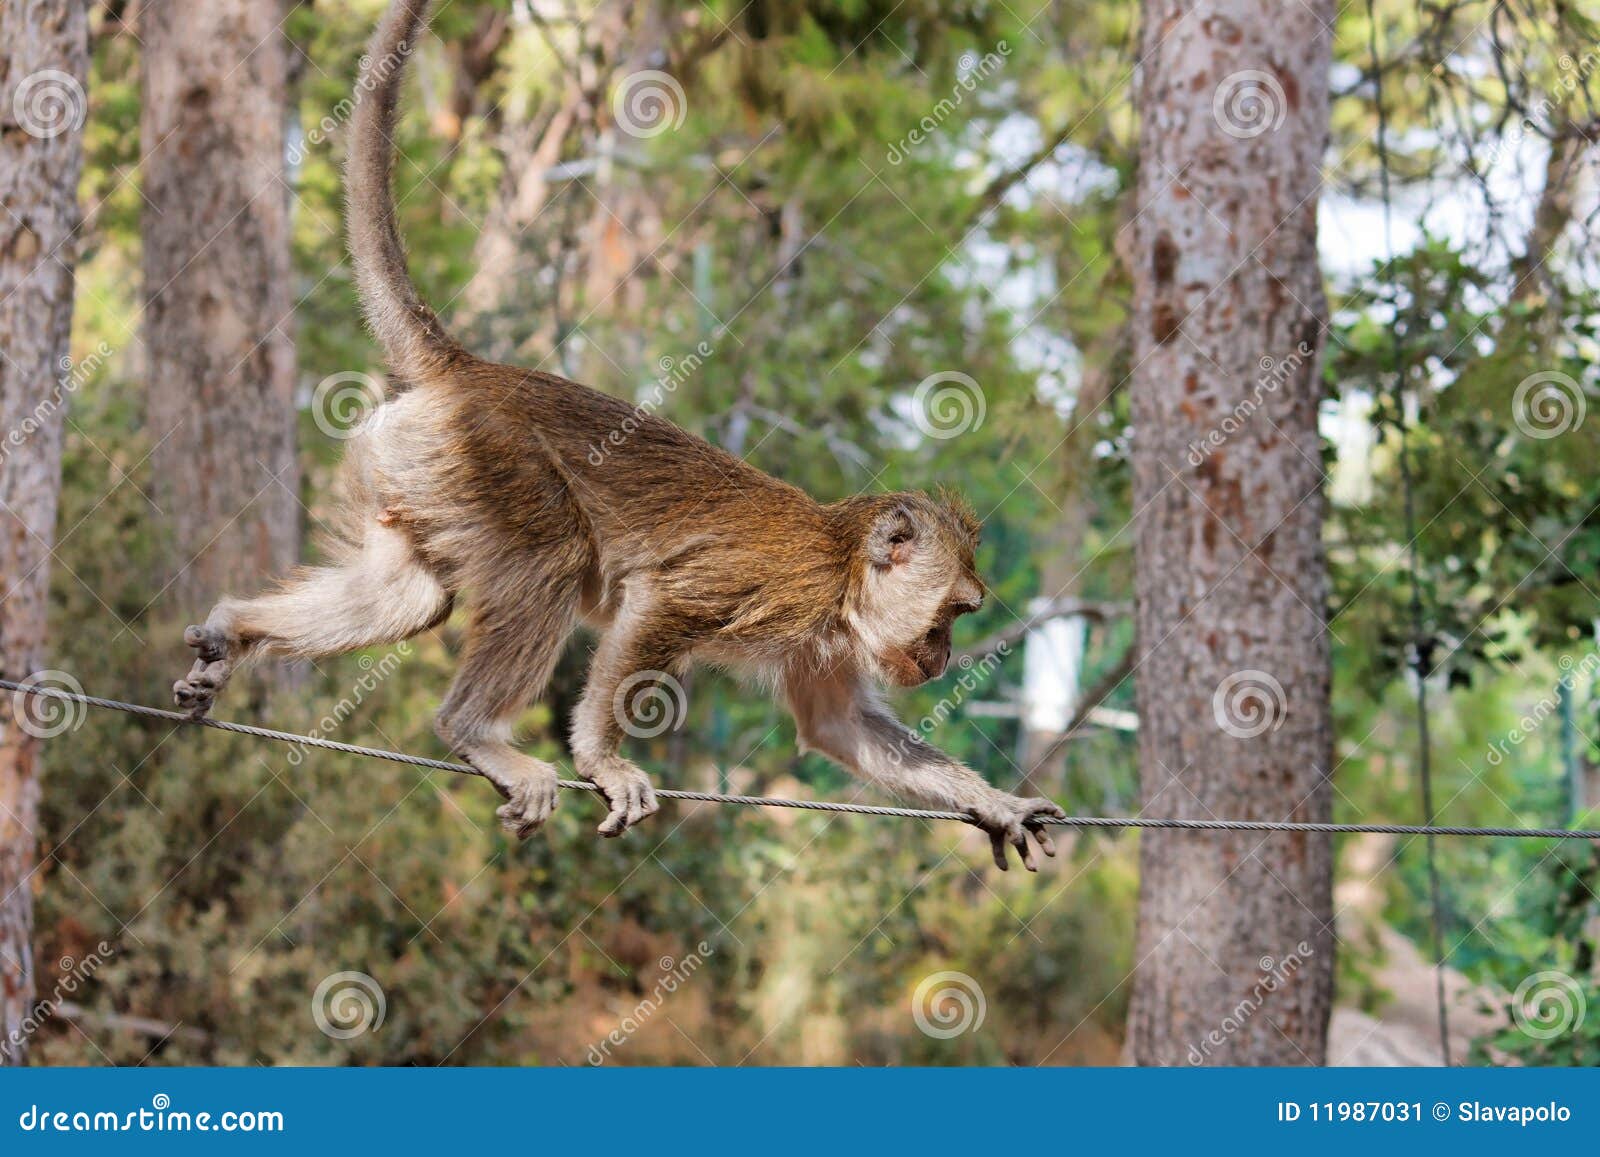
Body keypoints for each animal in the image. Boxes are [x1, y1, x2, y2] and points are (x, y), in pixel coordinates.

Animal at [171, 0, 1064, 872]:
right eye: (952, 612)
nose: (942, 656)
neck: (843, 569)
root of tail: (470, 372)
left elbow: (837, 726)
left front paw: (998, 803)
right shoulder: (780, 584)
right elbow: (653, 609)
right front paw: (601, 758)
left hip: (413, 466)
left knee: (410, 597)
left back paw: (236, 630)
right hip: (483, 454)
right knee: (551, 560)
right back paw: (474, 732)